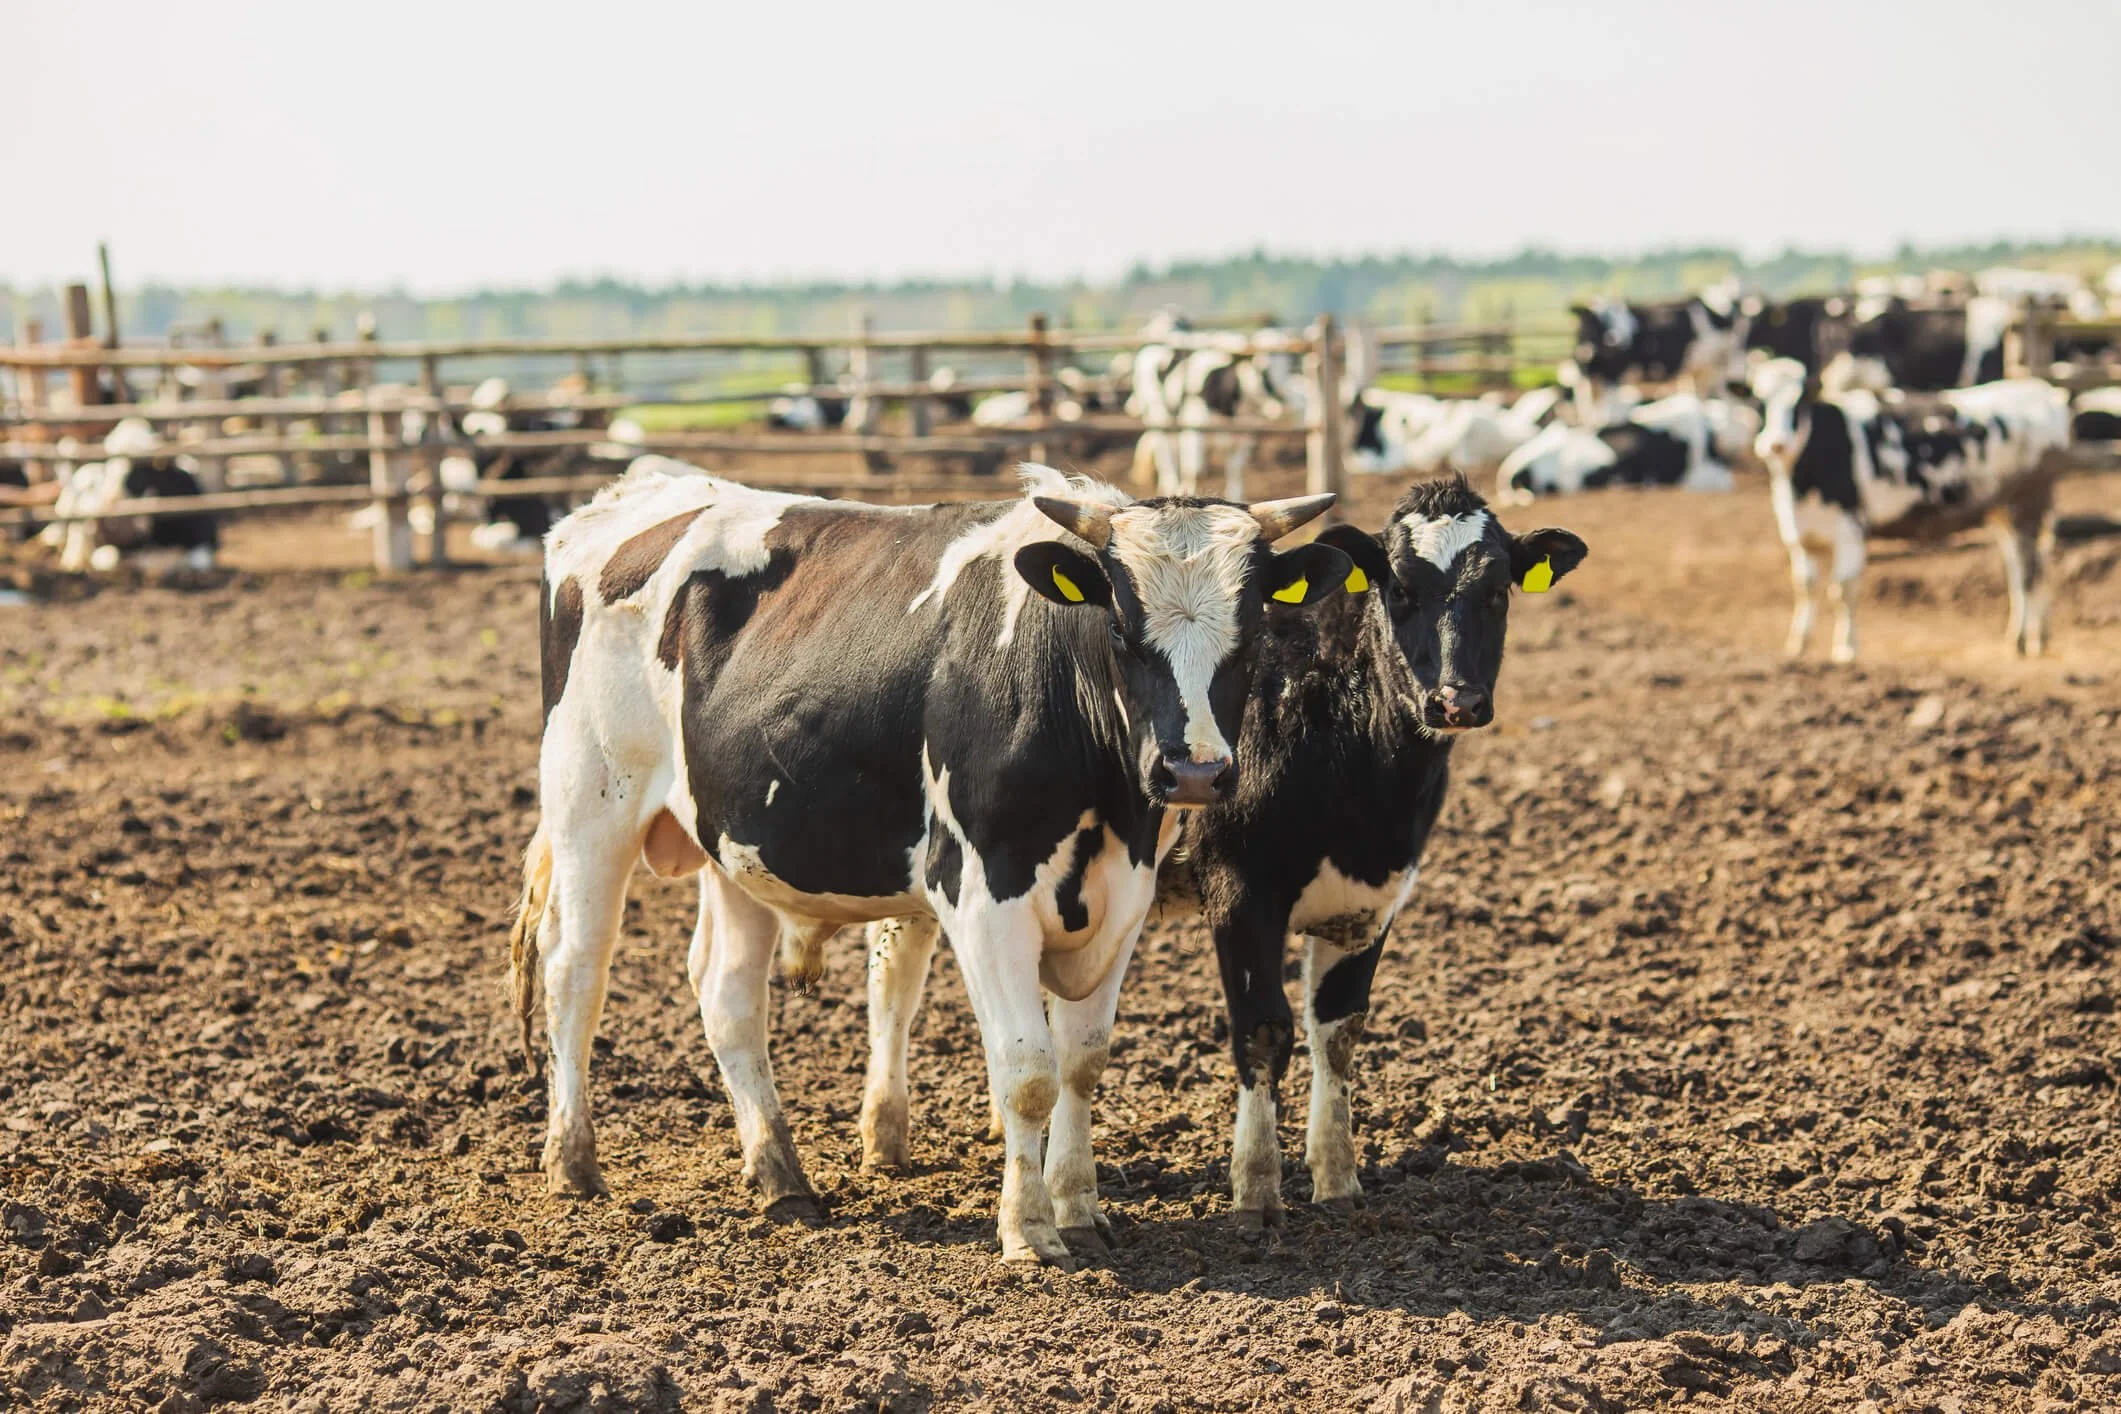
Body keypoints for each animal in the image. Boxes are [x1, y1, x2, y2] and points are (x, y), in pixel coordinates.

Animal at [506, 458, 1351, 1267]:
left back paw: (782, 1177)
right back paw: (573, 1161)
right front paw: (1028, 1231)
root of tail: (633, 497)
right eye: (1119, 626)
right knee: (575, 972)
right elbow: (1029, 1072)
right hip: (591, 805)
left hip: (735, 841)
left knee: (728, 995)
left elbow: (1081, 1062)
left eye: (1252, 629)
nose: (1194, 772)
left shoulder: (1126, 894)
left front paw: (1079, 1211)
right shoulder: (982, 895)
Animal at [1753, 365, 2072, 661]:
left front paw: (1846, 649)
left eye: (1799, 402)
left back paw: (2026, 642)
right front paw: (1797, 646)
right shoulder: (1800, 536)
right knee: (2021, 568)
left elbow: (1842, 590)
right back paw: (2029, 635)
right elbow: (1804, 588)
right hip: (2003, 510)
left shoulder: (1850, 529)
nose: (1776, 444)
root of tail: (2039, 389)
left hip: (2028, 503)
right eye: (1759, 403)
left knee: (2029, 571)